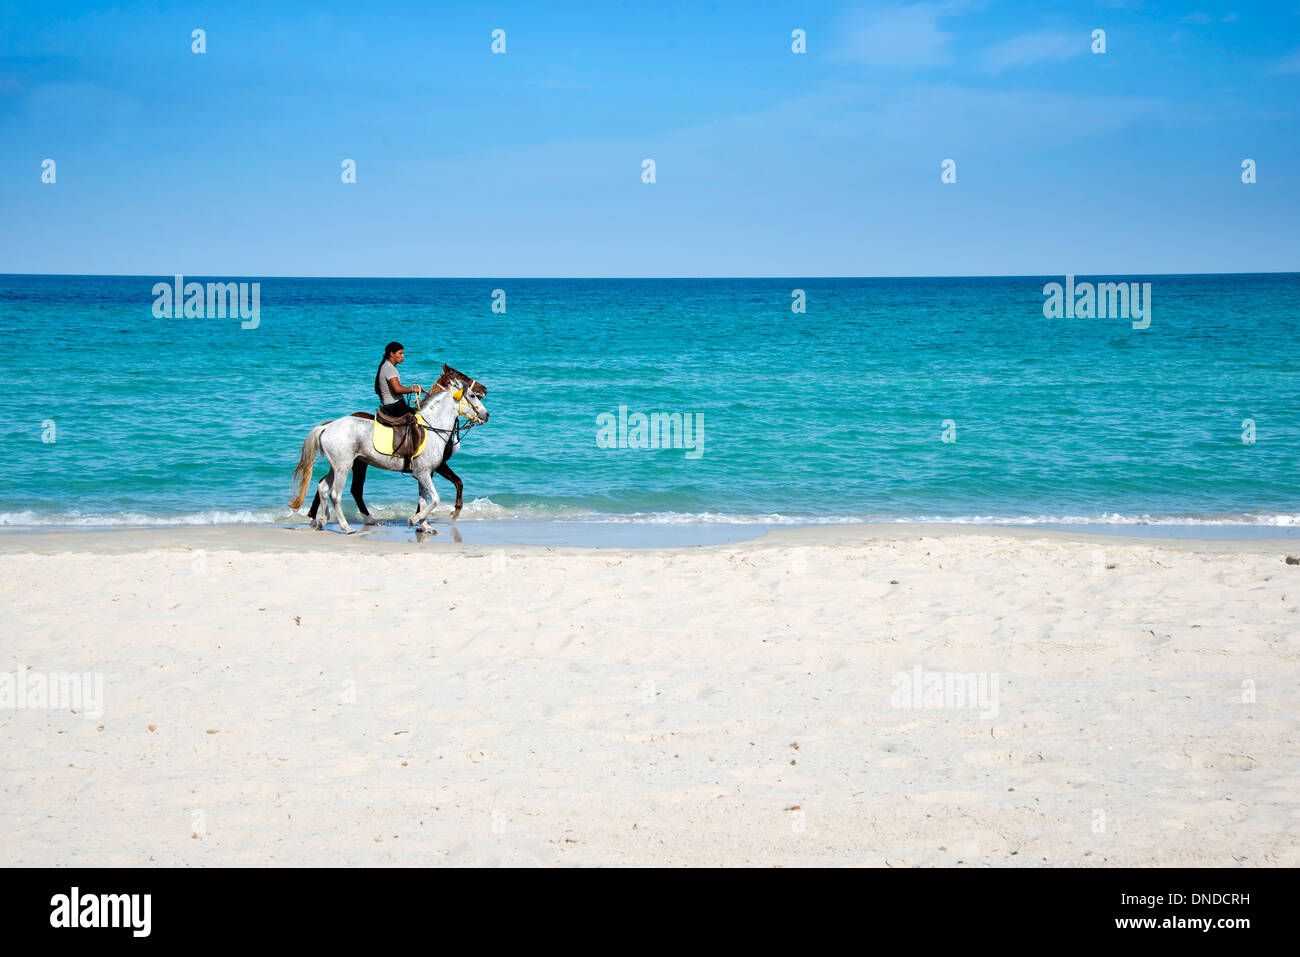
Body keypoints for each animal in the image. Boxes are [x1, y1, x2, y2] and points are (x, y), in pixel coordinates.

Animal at [289, 365, 489, 533]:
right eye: (471, 395)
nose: (486, 414)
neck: (433, 426)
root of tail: (328, 426)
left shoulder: (425, 473)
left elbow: (424, 499)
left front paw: (424, 525)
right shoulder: (425, 472)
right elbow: (435, 499)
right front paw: (415, 520)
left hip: (340, 465)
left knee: (323, 487)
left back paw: (322, 520)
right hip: (344, 466)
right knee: (337, 494)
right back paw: (345, 526)